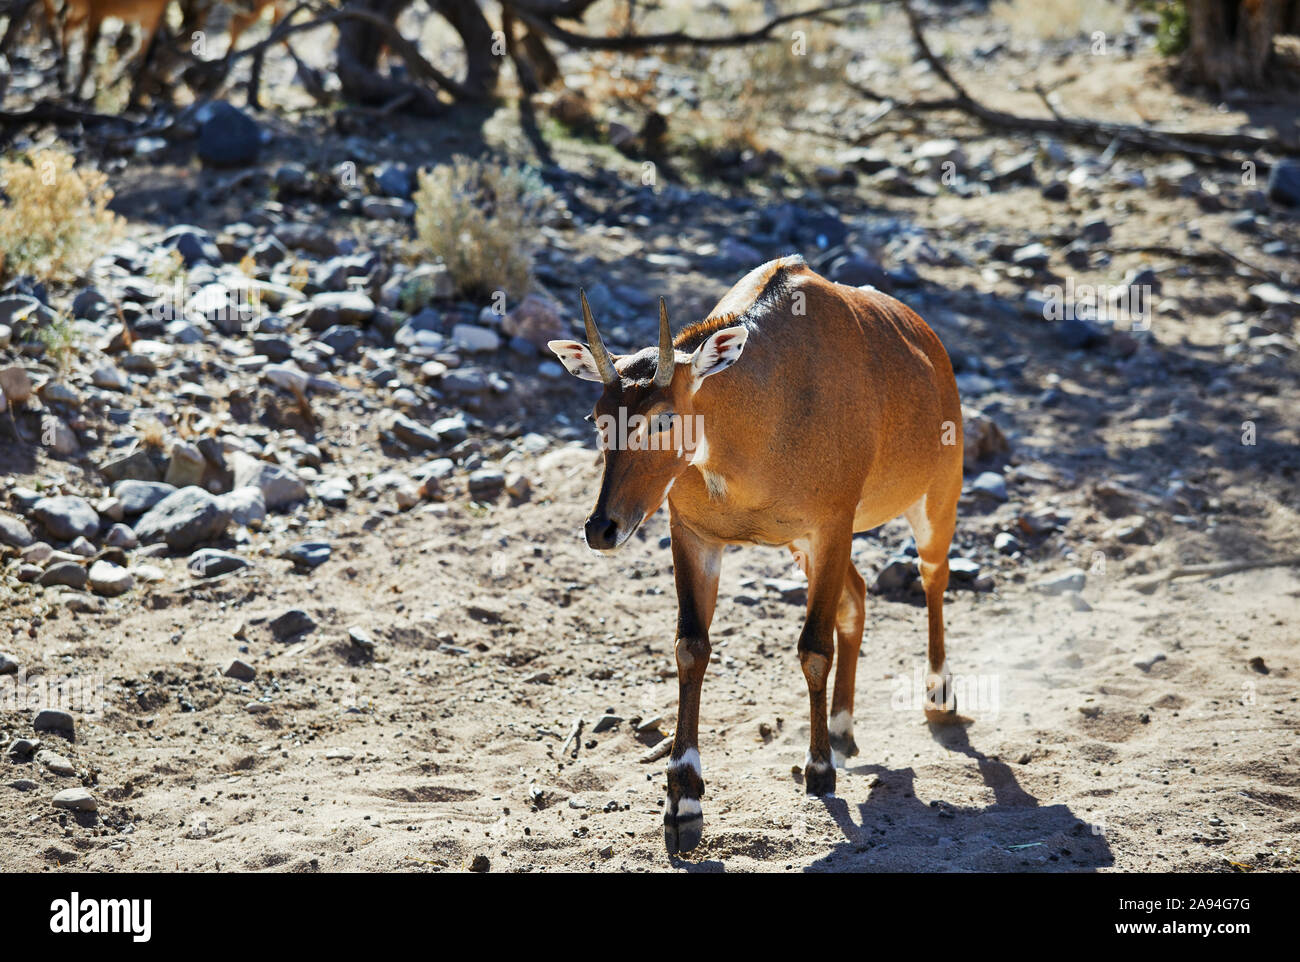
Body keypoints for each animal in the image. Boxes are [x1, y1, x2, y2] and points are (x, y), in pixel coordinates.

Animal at [548, 255, 964, 855]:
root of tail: (932, 347)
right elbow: (691, 647)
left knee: (932, 577)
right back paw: (841, 729)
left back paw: (936, 695)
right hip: (803, 546)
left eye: (664, 418)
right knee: (856, 597)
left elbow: (813, 648)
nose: (603, 528)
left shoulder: (831, 526)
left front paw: (818, 771)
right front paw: (683, 800)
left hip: (934, 499)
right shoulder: (695, 534)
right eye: (597, 417)